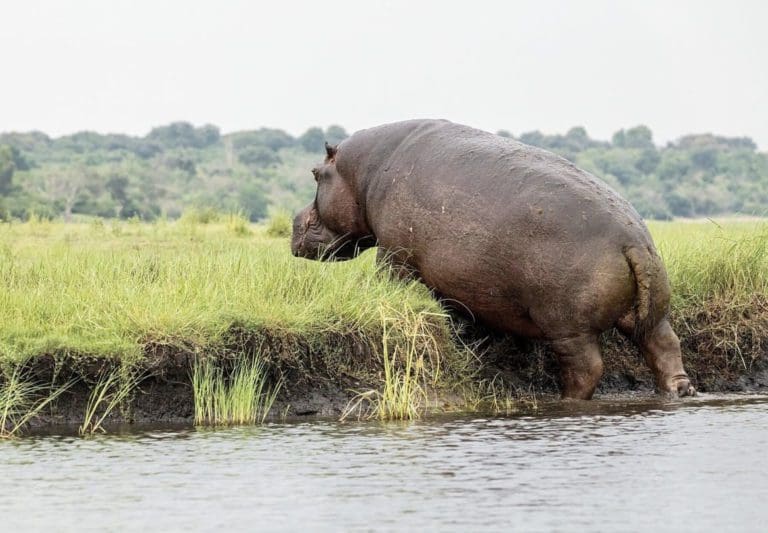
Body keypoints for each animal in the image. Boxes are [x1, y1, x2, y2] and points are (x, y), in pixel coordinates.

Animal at [291, 119, 695, 400]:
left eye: (315, 174)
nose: (294, 222)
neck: (363, 173)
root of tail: (633, 241)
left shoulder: (394, 253)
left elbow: (387, 280)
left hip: (568, 327)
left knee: (588, 368)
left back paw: (565, 399)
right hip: (652, 313)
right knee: (665, 346)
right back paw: (679, 391)